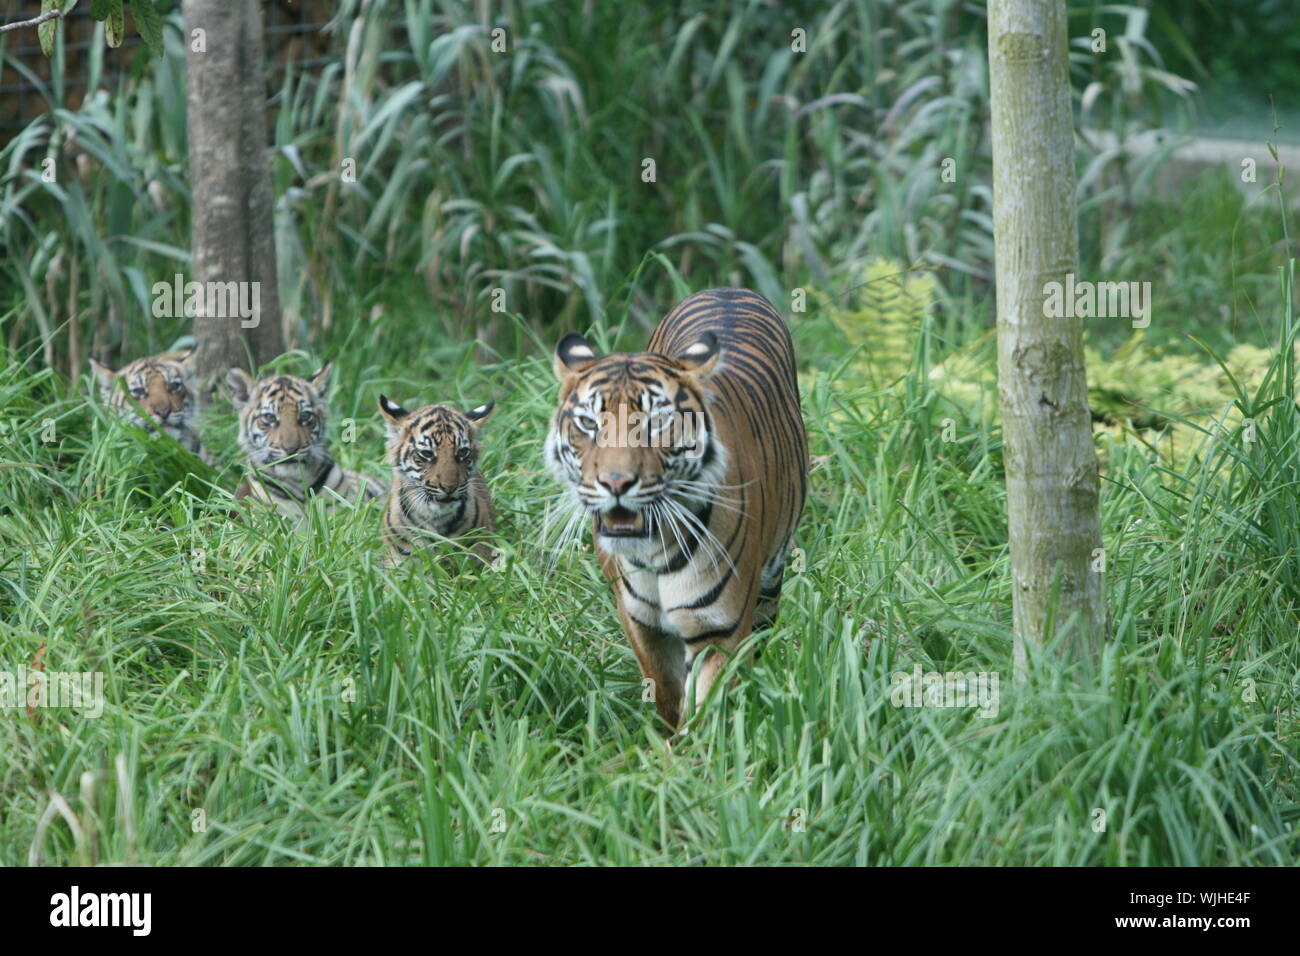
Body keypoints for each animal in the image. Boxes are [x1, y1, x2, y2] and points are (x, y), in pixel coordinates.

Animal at [546, 287, 808, 729]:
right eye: (588, 424)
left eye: (656, 422)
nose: (616, 483)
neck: (654, 547)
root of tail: (727, 289)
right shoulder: (640, 620)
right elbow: (666, 691)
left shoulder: (719, 627)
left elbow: (706, 708)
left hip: (770, 581)